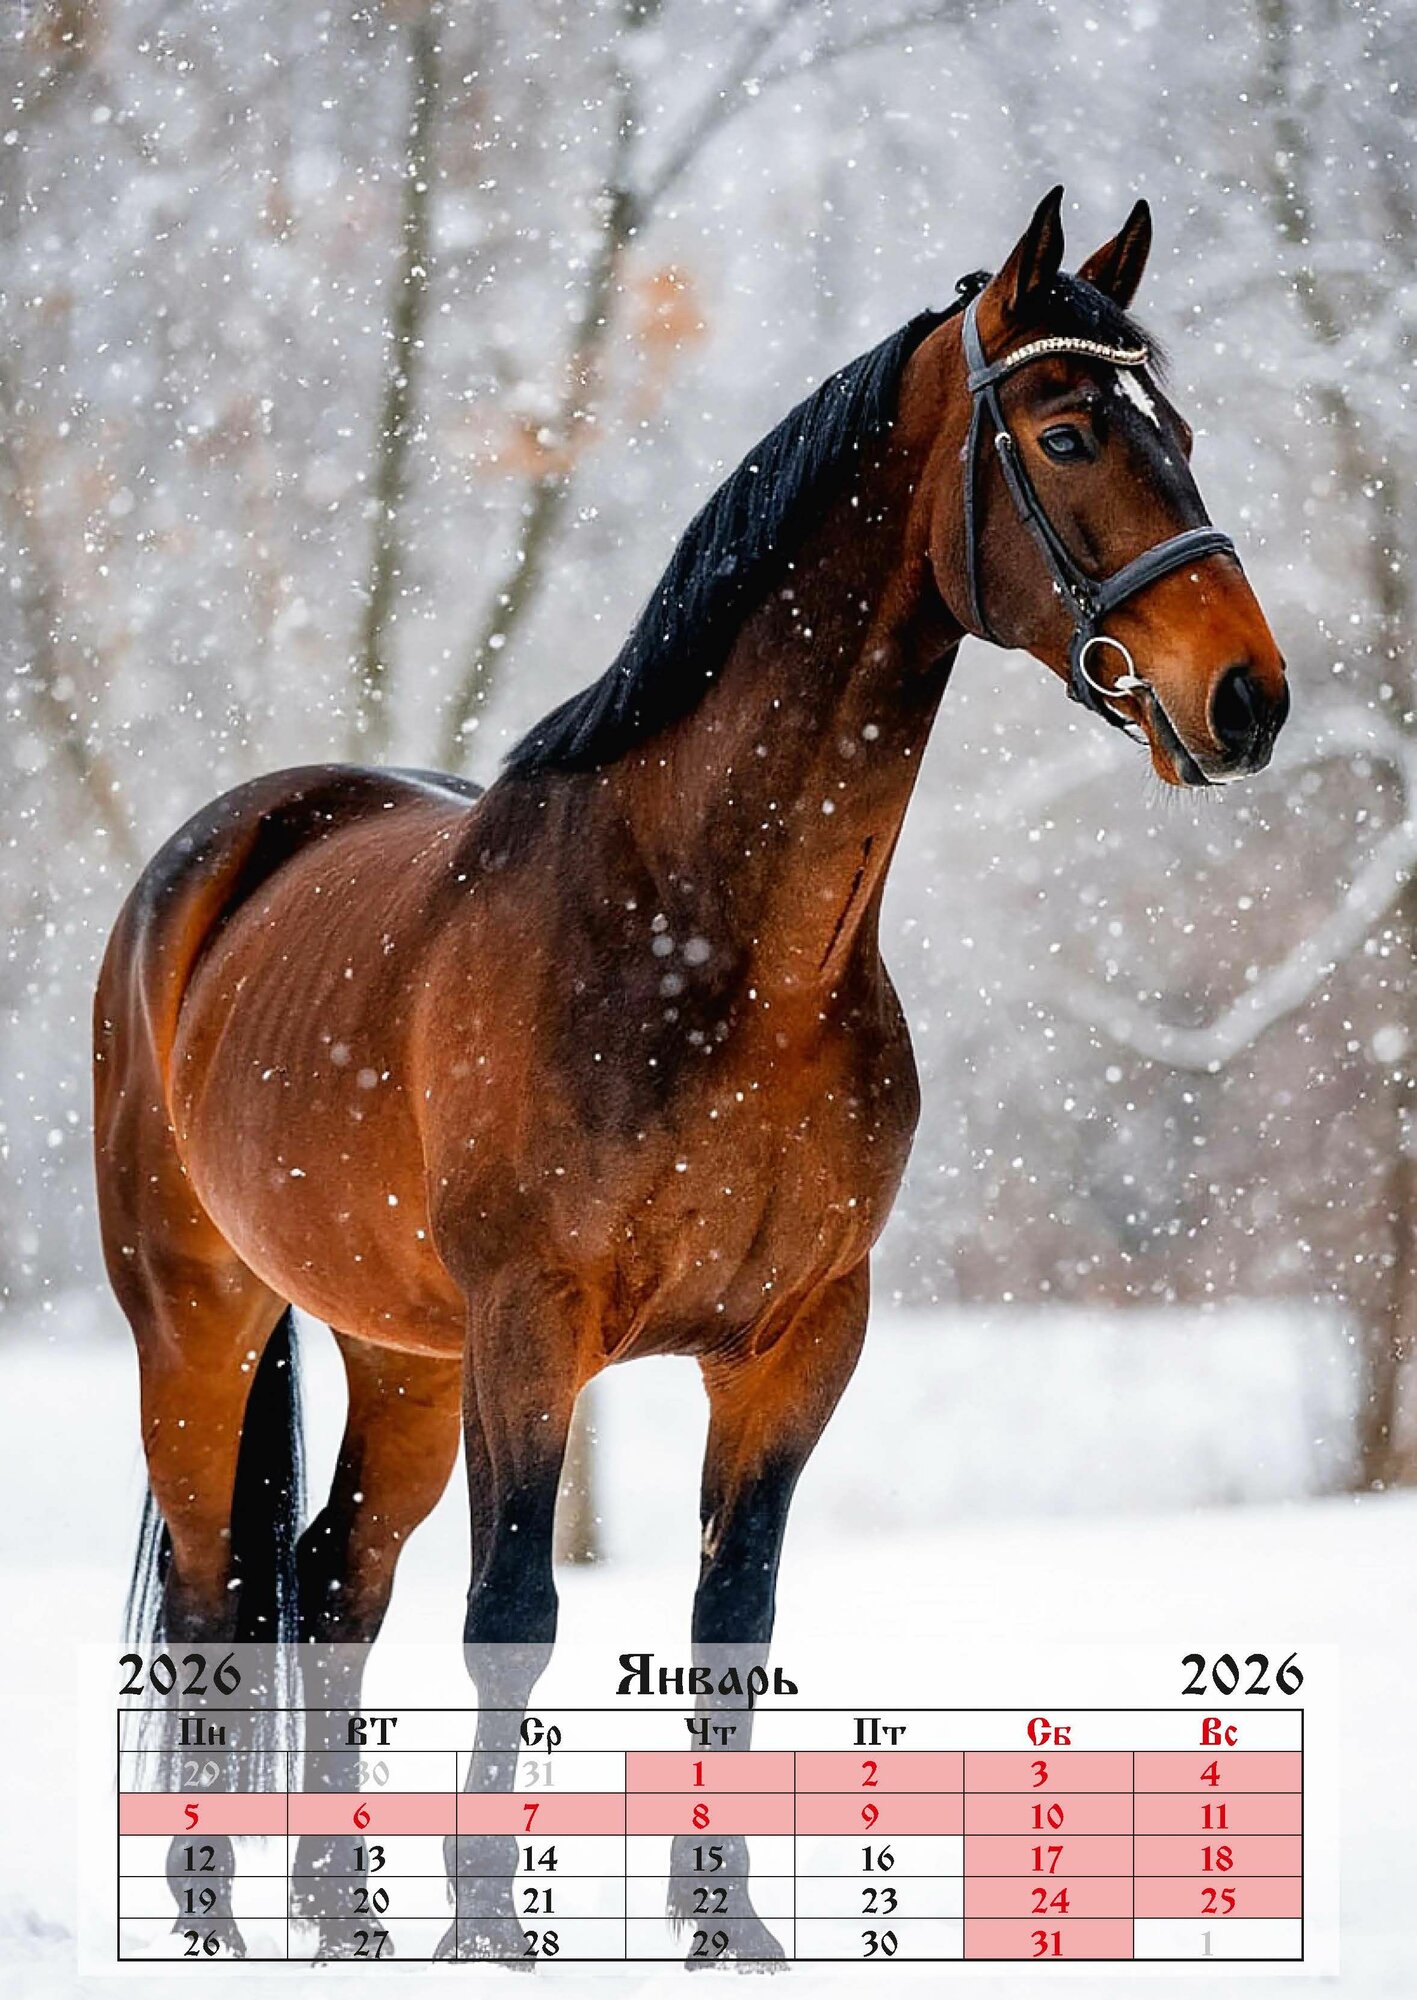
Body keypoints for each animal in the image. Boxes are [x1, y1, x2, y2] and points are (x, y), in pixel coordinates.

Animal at [96, 187, 1288, 1961]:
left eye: (1185, 434)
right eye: (1070, 431)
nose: (1248, 698)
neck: (720, 950)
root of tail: (221, 854)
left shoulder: (794, 1345)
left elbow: (732, 1622)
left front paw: (726, 1925)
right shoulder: (535, 1326)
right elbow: (514, 1614)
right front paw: (493, 1928)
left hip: (403, 1353)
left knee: (331, 1576)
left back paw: (340, 1910)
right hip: (199, 1318)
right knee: (208, 1592)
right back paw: (212, 1921)